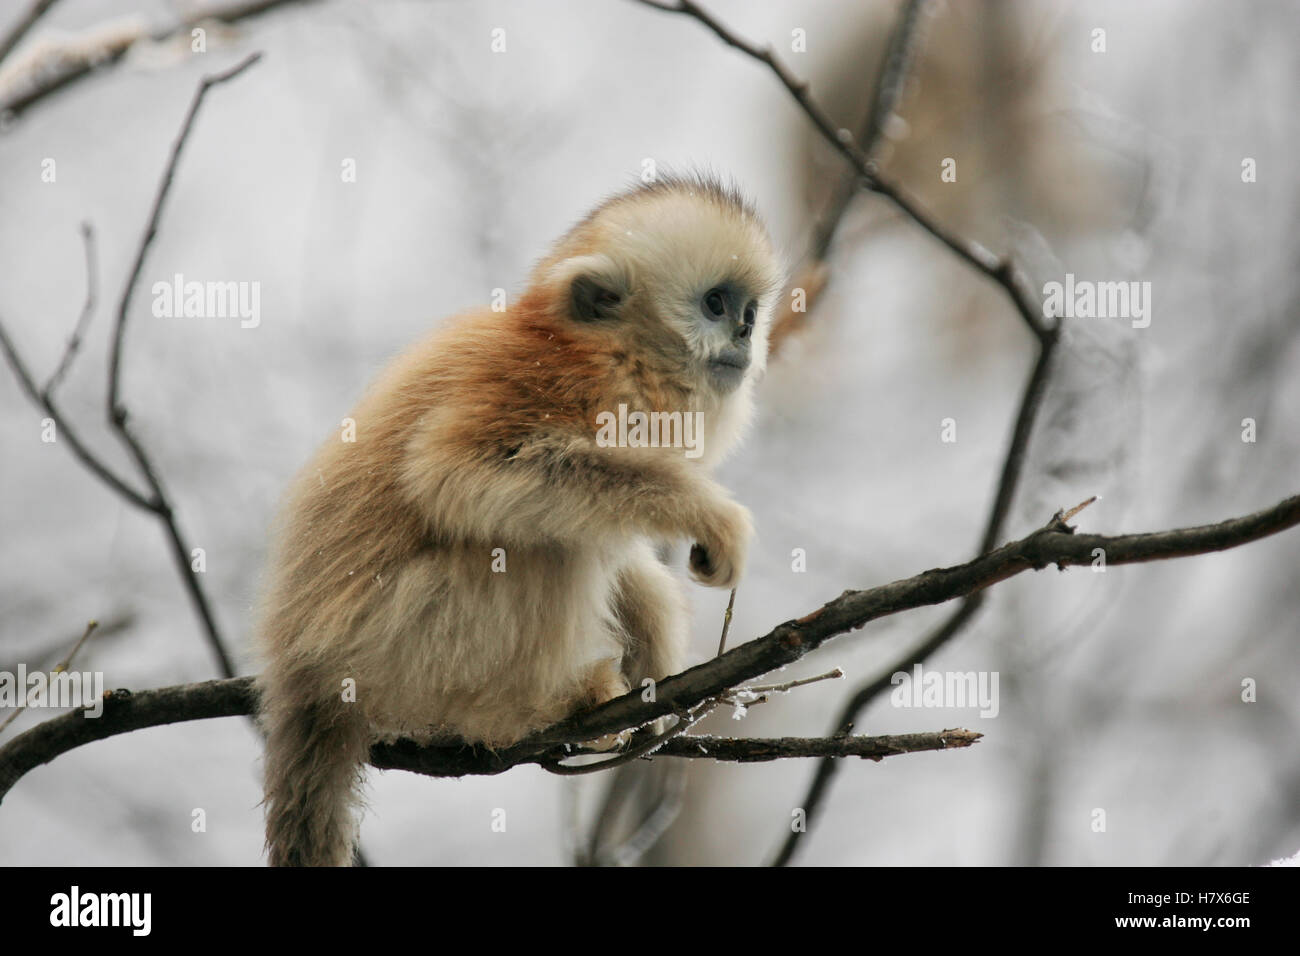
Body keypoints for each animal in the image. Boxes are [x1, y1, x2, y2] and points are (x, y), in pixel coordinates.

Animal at [254, 172, 784, 866]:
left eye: (749, 309)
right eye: (716, 304)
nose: (746, 332)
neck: (604, 354)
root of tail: (299, 671)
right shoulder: (541, 380)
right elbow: (452, 472)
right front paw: (710, 514)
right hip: (397, 639)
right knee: (548, 549)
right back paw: (545, 706)